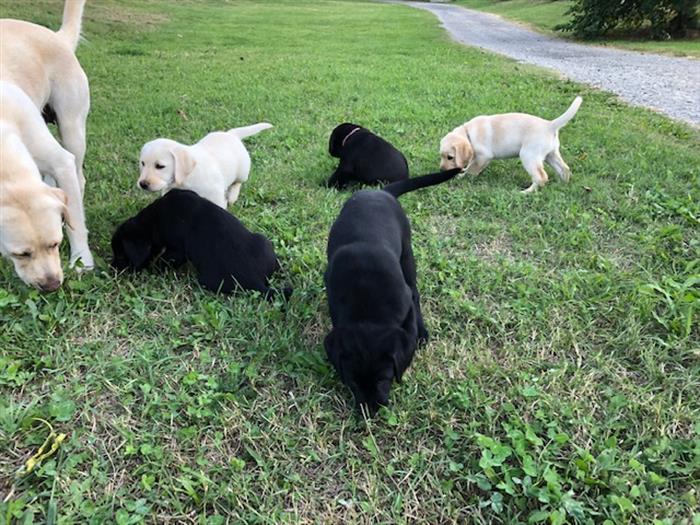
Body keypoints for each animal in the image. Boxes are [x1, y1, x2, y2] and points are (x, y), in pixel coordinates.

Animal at [0, 0, 93, 288]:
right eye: (20, 254)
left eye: (55, 244)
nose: (51, 286)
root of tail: (57, 37)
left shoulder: (60, 161)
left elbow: (76, 221)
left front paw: (82, 260)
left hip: (72, 128)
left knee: (78, 179)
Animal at [112, 187, 288, 298]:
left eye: (120, 255)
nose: (113, 268)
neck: (153, 218)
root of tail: (257, 282)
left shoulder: (177, 250)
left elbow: (165, 260)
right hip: (263, 241)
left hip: (207, 280)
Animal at [139, 123, 274, 207]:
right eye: (142, 163)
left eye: (160, 166)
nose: (142, 184)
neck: (186, 178)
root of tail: (231, 134)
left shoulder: (215, 195)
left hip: (242, 170)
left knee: (238, 182)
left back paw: (232, 196)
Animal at [326, 167, 462, 414]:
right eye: (352, 382)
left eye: (384, 379)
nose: (371, 411)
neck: (367, 309)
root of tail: (381, 191)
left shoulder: (404, 299)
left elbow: (412, 311)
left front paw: (418, 333)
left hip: (407, 253)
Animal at [440, 96, 584, 192]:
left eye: (450, 157)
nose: (441, 170)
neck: (469, 133)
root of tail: (550, 125)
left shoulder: (483, 155)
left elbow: (471, 168)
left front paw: (462, 177)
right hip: (551, 155)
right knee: (564, 169)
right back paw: (562, 185)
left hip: (528, 155)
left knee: (541, 177)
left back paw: (526, 192)